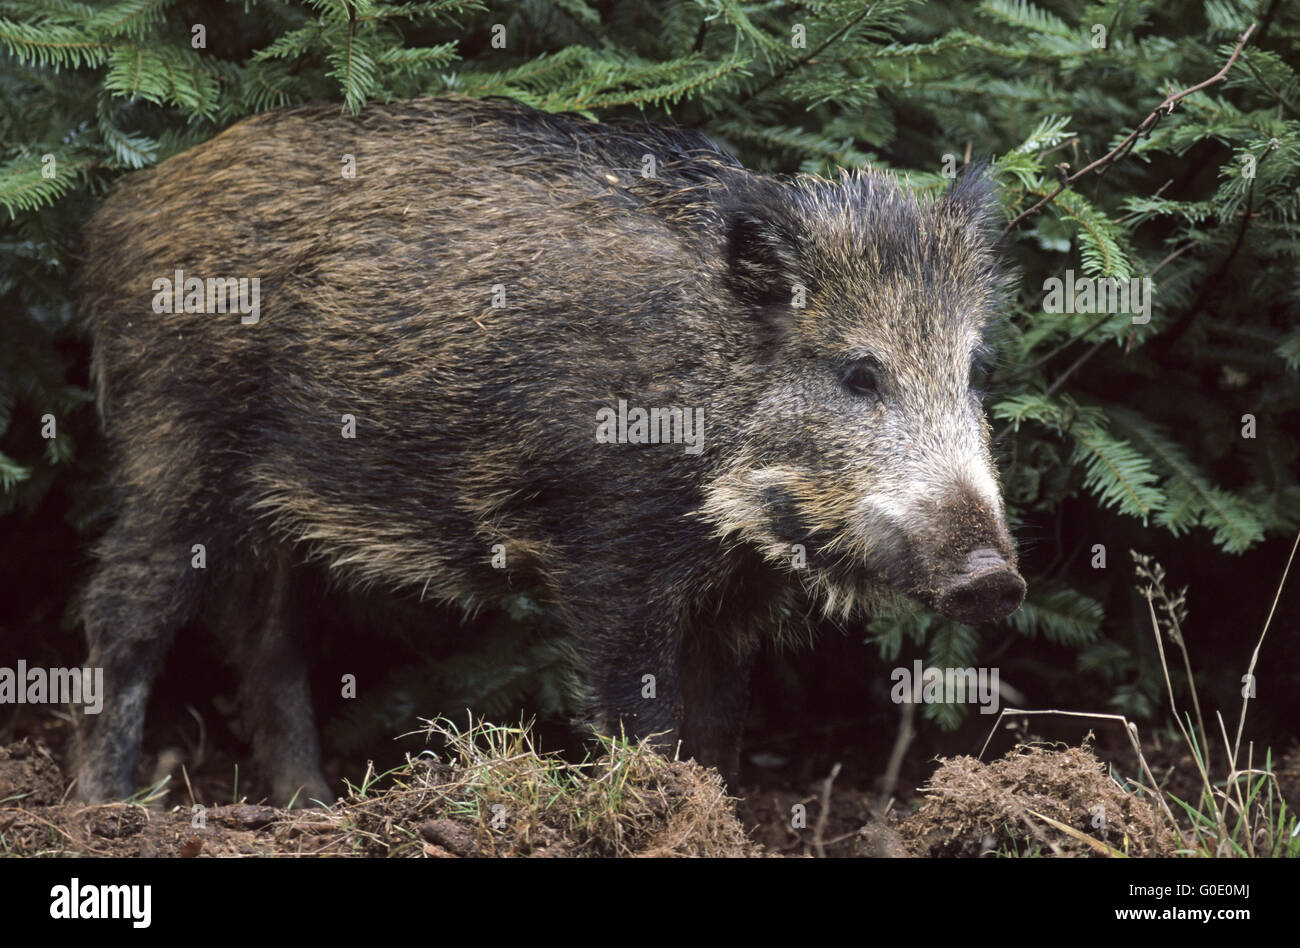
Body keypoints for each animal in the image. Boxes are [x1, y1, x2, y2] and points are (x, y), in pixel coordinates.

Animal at [73, 97, 1024, 804]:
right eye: (859, 373)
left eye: (974, 370)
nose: (996, 578)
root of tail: (120, 211)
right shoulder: (610, 555)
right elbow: (643, 716)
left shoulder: (737, 593)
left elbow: (721, 726)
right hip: (174, 446)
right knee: (124, 611)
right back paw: (106, 805)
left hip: (273, 504)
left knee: (267, 642)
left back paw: (311, 807)